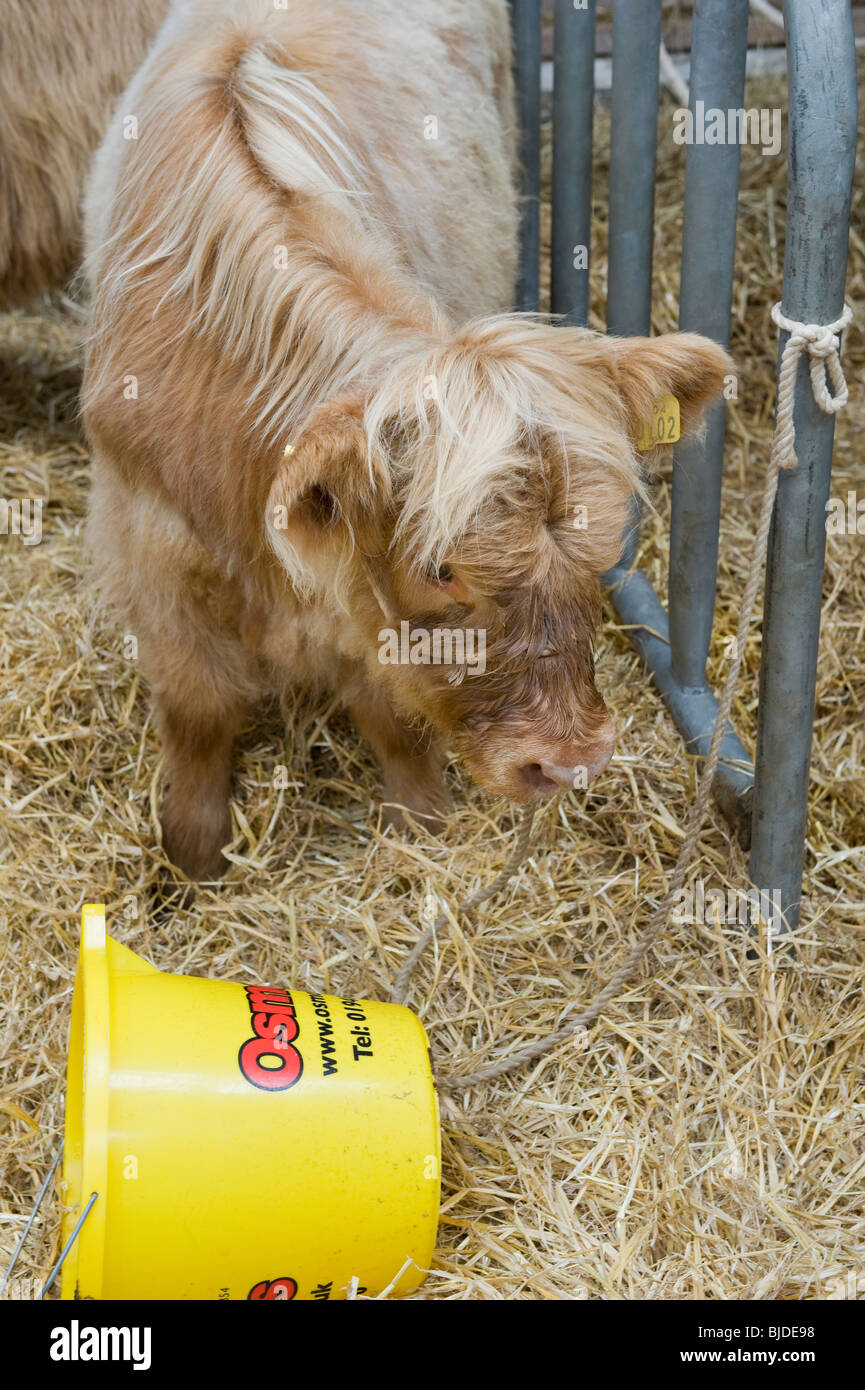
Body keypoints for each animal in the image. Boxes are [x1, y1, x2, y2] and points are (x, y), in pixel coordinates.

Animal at [81, 0, 731, 879]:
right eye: (438, 569)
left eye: (601, 547)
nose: (569, 762)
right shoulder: (153, 558)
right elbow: (198, 716)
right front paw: (193, 863)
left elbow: (389, 714)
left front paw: (423, 827)